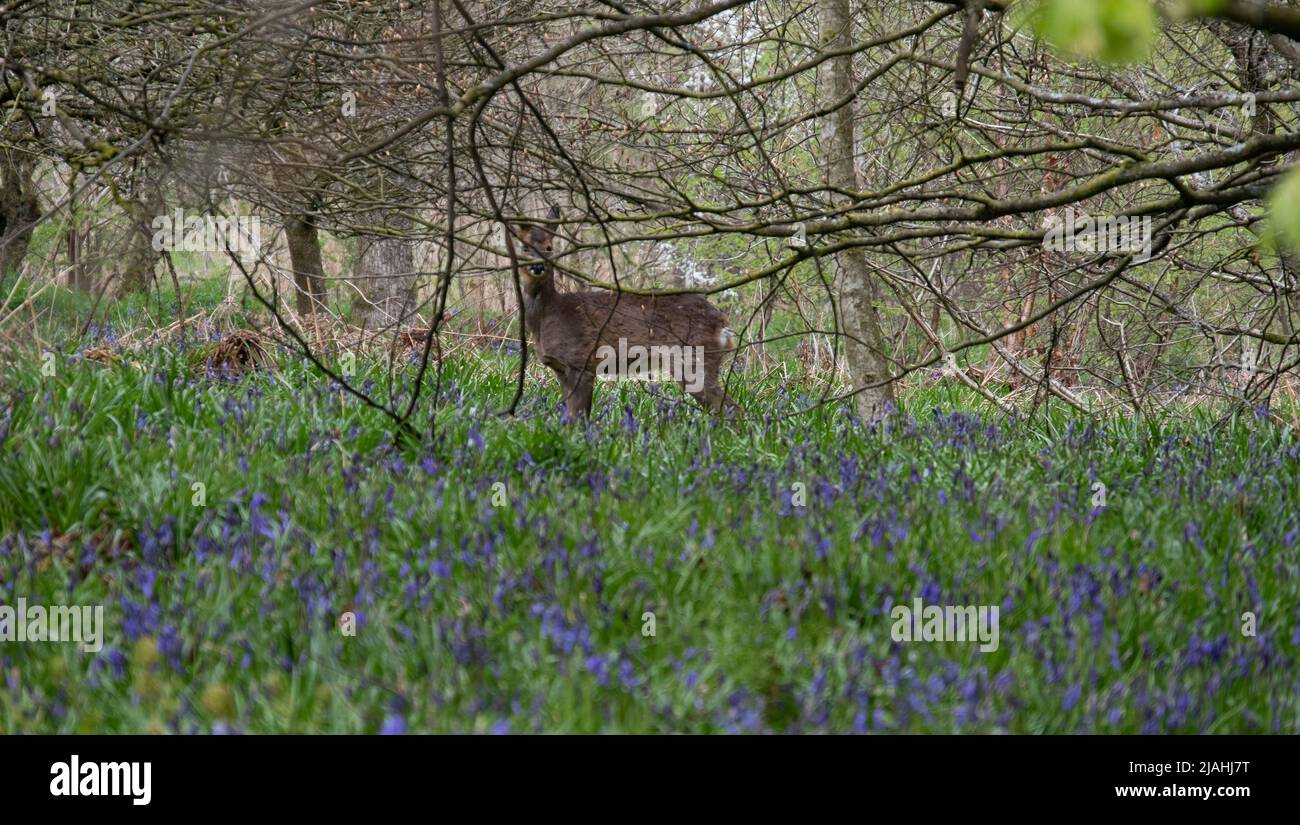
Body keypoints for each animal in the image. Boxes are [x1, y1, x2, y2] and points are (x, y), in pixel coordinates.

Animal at [507, 206, 740, 422]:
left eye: (549, 247)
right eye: (524, 247)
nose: (538, 267)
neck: (549, 314)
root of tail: (723, 325)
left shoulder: (581, 361)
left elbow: (579, 418)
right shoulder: (561, 369)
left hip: (694, 358)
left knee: (733, 409)